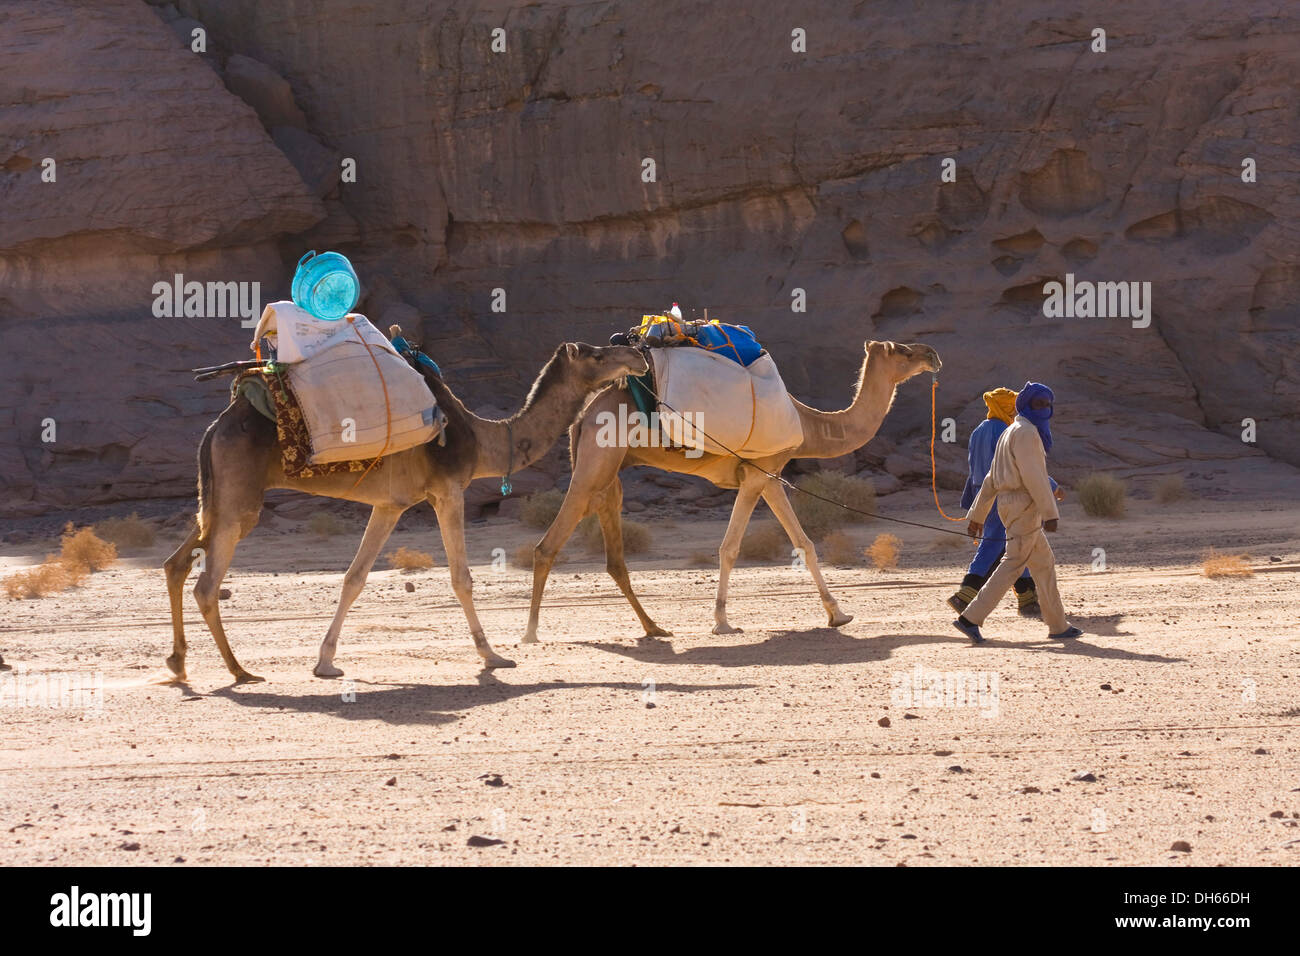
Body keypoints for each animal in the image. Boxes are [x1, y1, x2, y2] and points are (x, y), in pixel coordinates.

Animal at [163, 339, 648, 683]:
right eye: (597, 353)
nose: (637, 355)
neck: (484, 439)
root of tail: (215, 427)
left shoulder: (389, 504)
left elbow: (354, 578)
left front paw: (325, 662)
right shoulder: (448, 490)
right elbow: (461, 578)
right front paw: (492, 655)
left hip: (219, 499)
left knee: (175, 564)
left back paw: (179, 663)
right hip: (240, 500)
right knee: (206, 583)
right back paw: (238, 670)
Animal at [523, 340, 941, 640]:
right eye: (903, 351)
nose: (932, 354)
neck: (809, 425)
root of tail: (585, 415)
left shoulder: (769, 476)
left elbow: (804, 543)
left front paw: (838, 614)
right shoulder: (757, 475)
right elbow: (730, 547)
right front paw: (722, 621)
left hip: (610, 473)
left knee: (612, 553)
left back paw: (653, 628)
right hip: (595, 464)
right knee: (549, 543)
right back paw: (531, 633)